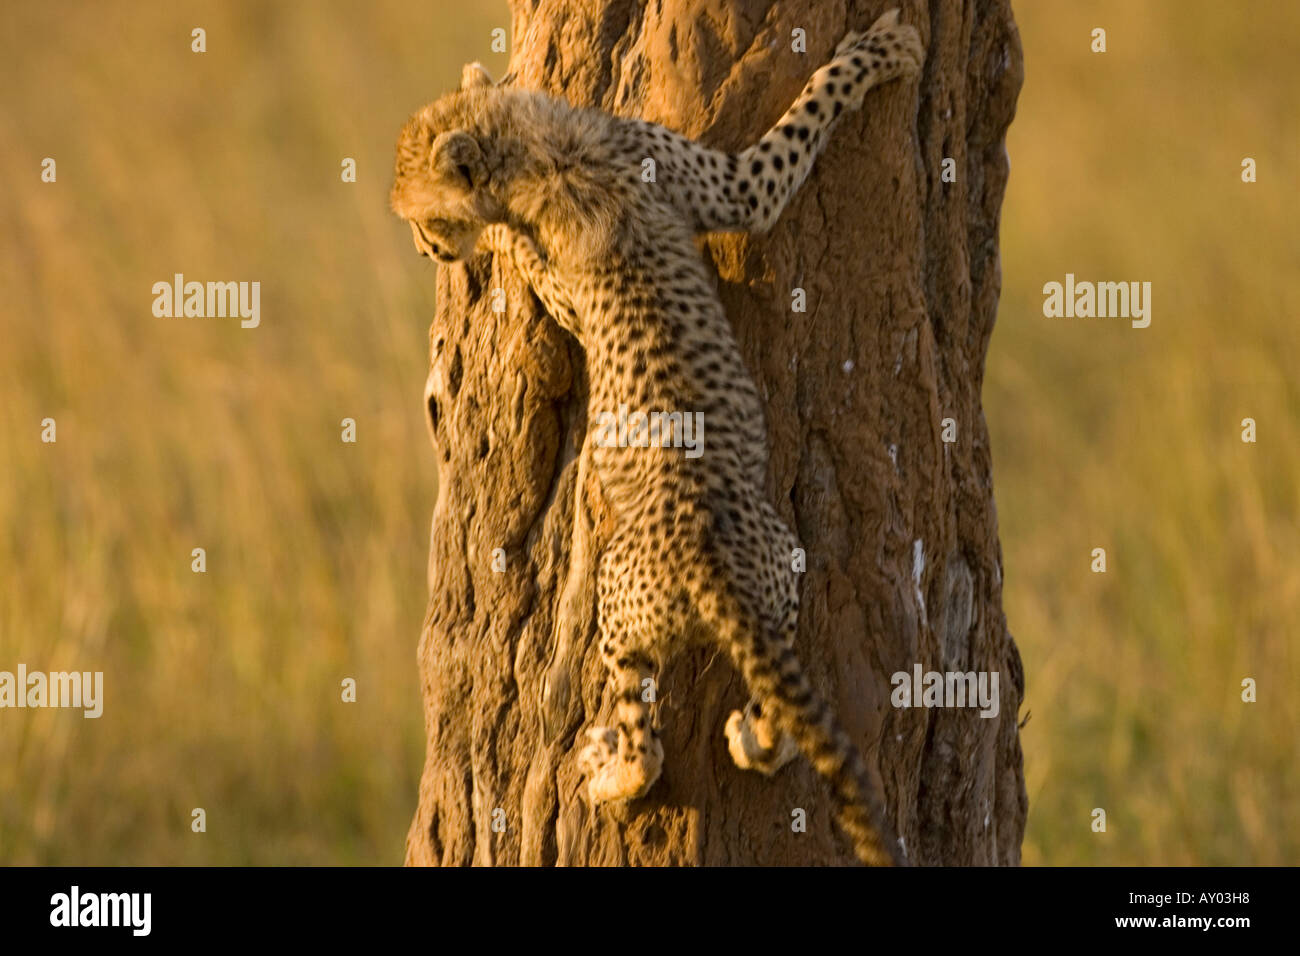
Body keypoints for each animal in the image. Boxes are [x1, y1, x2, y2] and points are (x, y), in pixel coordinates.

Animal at [391, 8, 924, 865]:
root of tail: (706, 552)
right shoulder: (722, 196)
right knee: (662, 740)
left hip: (739, 584)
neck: (534, 151)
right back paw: (637, 765)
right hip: (697, 595)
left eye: (426, 218)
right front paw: (880, 52)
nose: (428, 249)